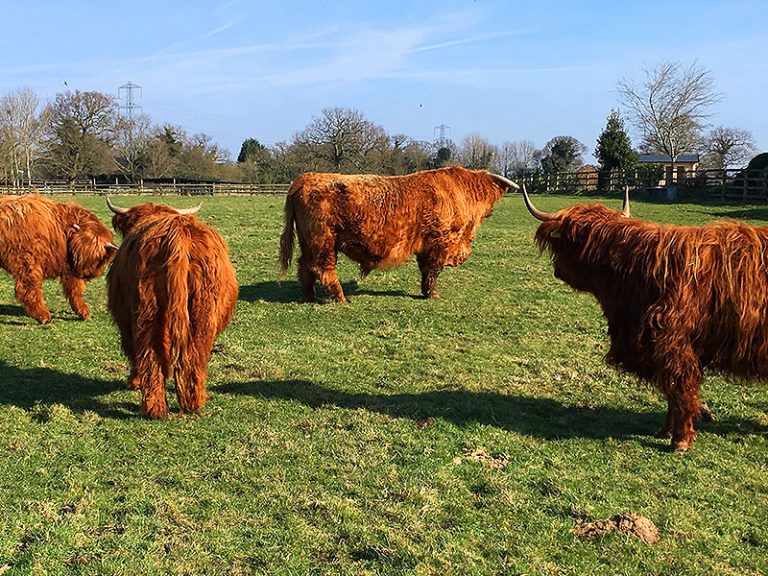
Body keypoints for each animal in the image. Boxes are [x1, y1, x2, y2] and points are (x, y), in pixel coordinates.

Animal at [0, 194, 117, 323]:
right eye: (99, 258)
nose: (88, 275)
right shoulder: (28, 262)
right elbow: (30, 289)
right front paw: (44, 316)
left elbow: (75, 289)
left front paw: (83, 313)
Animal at [106, 199, 238, 419]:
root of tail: (178, 236)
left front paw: (134, 382)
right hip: (202, 313)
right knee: (194, 356)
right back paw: (193, 403)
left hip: (147, 313)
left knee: (149, 355)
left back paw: (155, 409)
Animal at [279, 167, 520, 302]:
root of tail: (304, 179)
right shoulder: (438, 243)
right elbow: (433, 271)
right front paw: (433, 295)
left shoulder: (425, 246)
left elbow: (425, 271)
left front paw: (426, 292)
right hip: (324, 241)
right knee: (324, 269)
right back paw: (341, 298)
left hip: (308, 242)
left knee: (304, 266)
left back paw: (310, 296)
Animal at [522, 184, 758, 452]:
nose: (556, 271)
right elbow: (672, 391)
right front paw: (666, 431)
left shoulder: (673, 345)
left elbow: (681, 390)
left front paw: (681, 439)